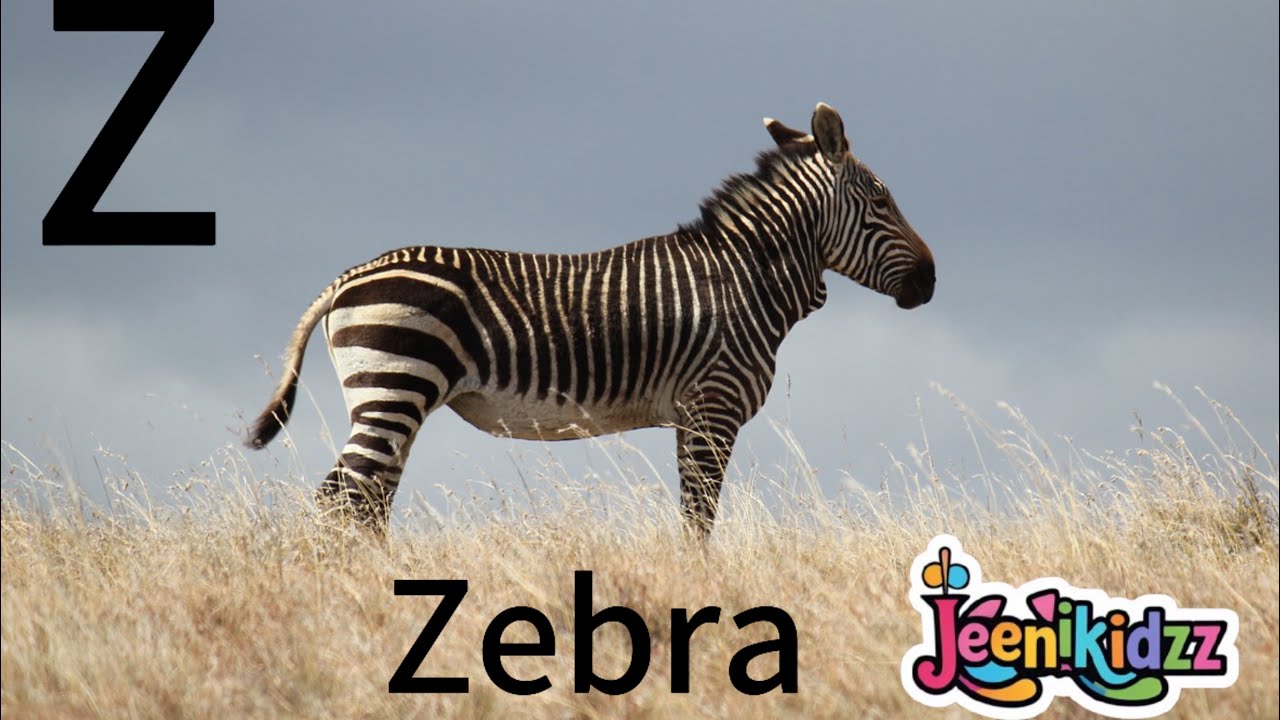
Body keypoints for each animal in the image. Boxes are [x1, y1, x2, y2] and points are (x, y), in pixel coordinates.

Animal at [247, 102, 935, 537]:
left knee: (367, 501)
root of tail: (346, 278)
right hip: (396, 384)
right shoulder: (712, 408)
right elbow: (699, 518)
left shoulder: (691, 416)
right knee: (341, 498)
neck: (744, 277)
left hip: (392, 397)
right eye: (880, 200)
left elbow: (693, 516)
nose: (931, 280)